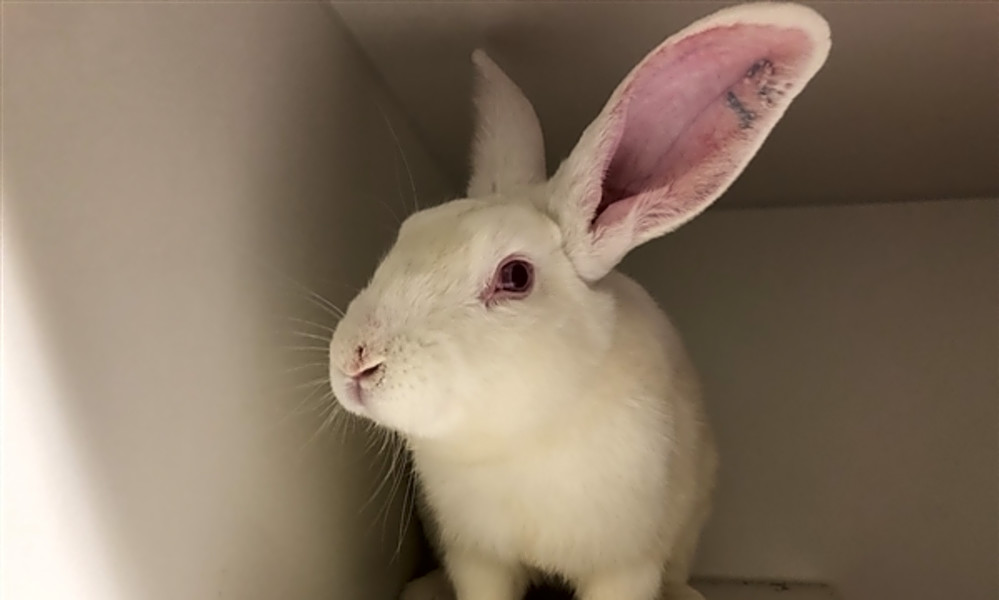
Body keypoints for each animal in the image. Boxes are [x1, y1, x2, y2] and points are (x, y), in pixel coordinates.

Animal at [328, 3, 831, 600]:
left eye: (515, 276)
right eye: (408, 231)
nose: (354, 361)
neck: (517, 439)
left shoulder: (626, 564)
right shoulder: (477, 556)